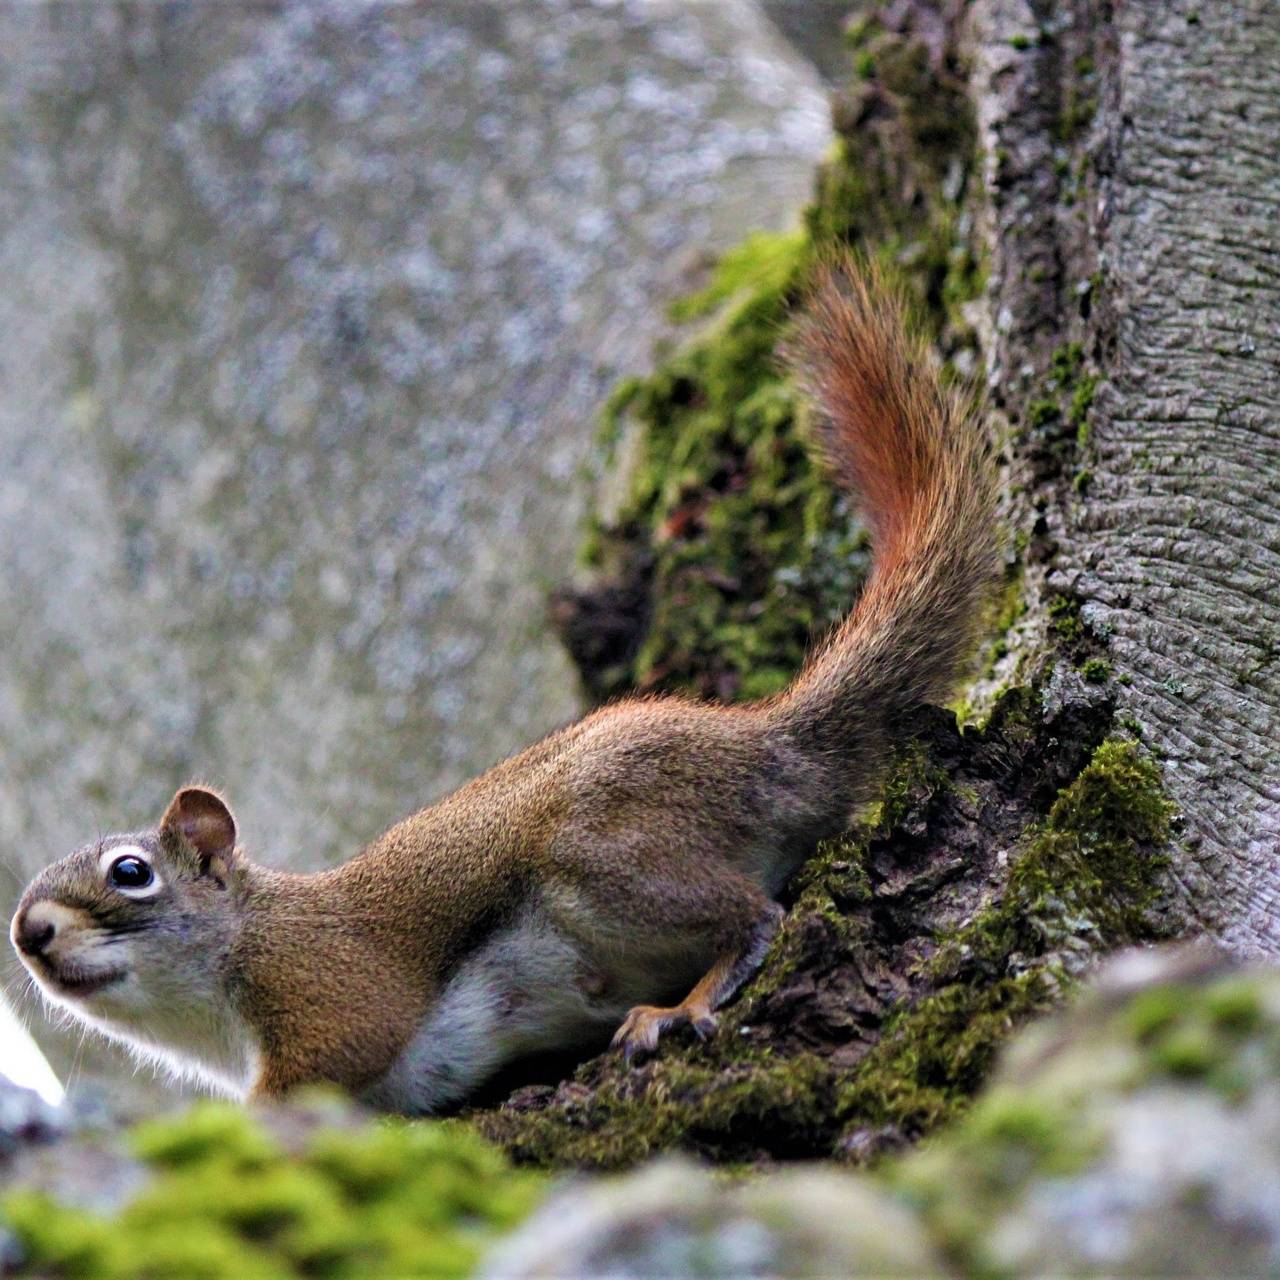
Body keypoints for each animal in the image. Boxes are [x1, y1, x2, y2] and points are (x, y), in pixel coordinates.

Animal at [10, 261, 998, 1113]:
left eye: (130, 872)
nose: (28, 934)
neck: (233, 964)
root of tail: (771, 745)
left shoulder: (325, 983)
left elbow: (331, 1053)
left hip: (609, 852)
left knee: (753, 916)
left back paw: (681, 1005)